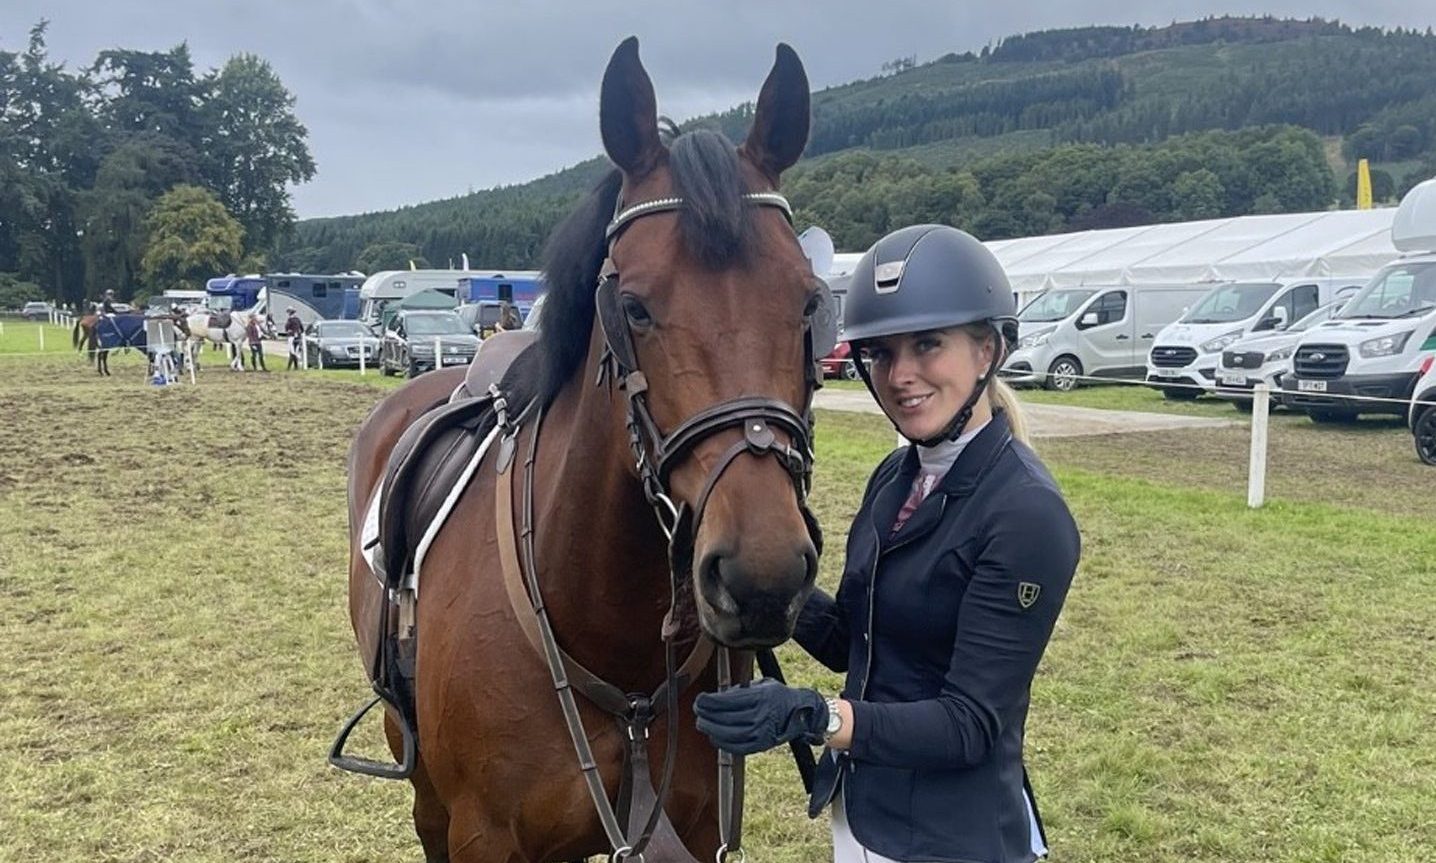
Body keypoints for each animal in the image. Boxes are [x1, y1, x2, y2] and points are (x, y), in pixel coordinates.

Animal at [342, 38, 824, 862]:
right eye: (633, 305)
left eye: (809, 301)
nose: (762, 577)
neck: (606, 621)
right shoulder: (483, 835)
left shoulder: (695, 828)